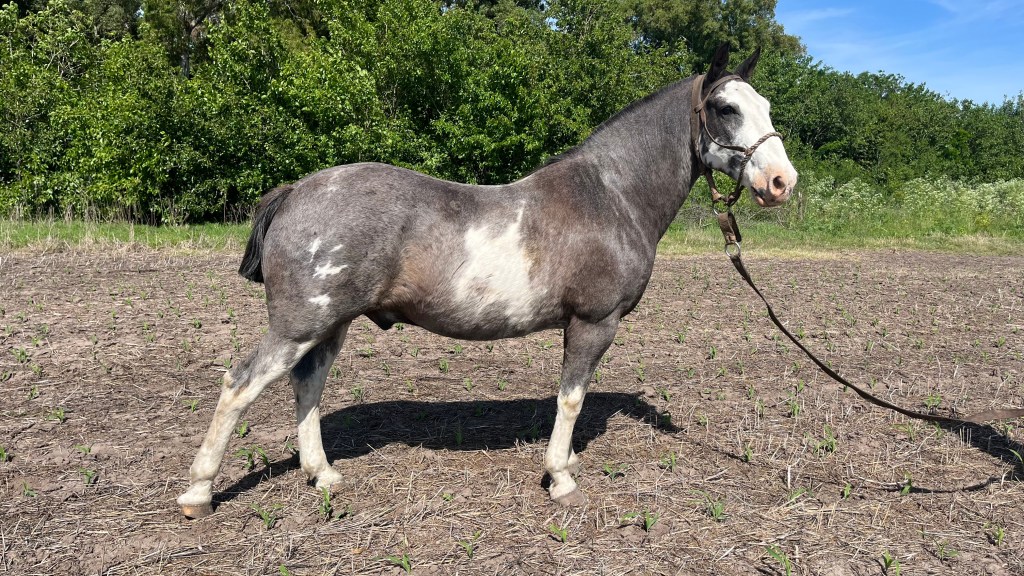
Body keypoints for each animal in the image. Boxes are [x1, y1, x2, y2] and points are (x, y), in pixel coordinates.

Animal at [177, 43, 798, 518]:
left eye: (766, 105)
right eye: (725, 108)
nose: (781, 181)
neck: (611, 194)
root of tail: (296, 192)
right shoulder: (593, 322)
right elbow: (571, 397)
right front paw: (561, 478)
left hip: (330, 325)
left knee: (307, 384)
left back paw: (323, 474)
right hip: (300, 324)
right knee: (240, 384)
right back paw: (199, 493)